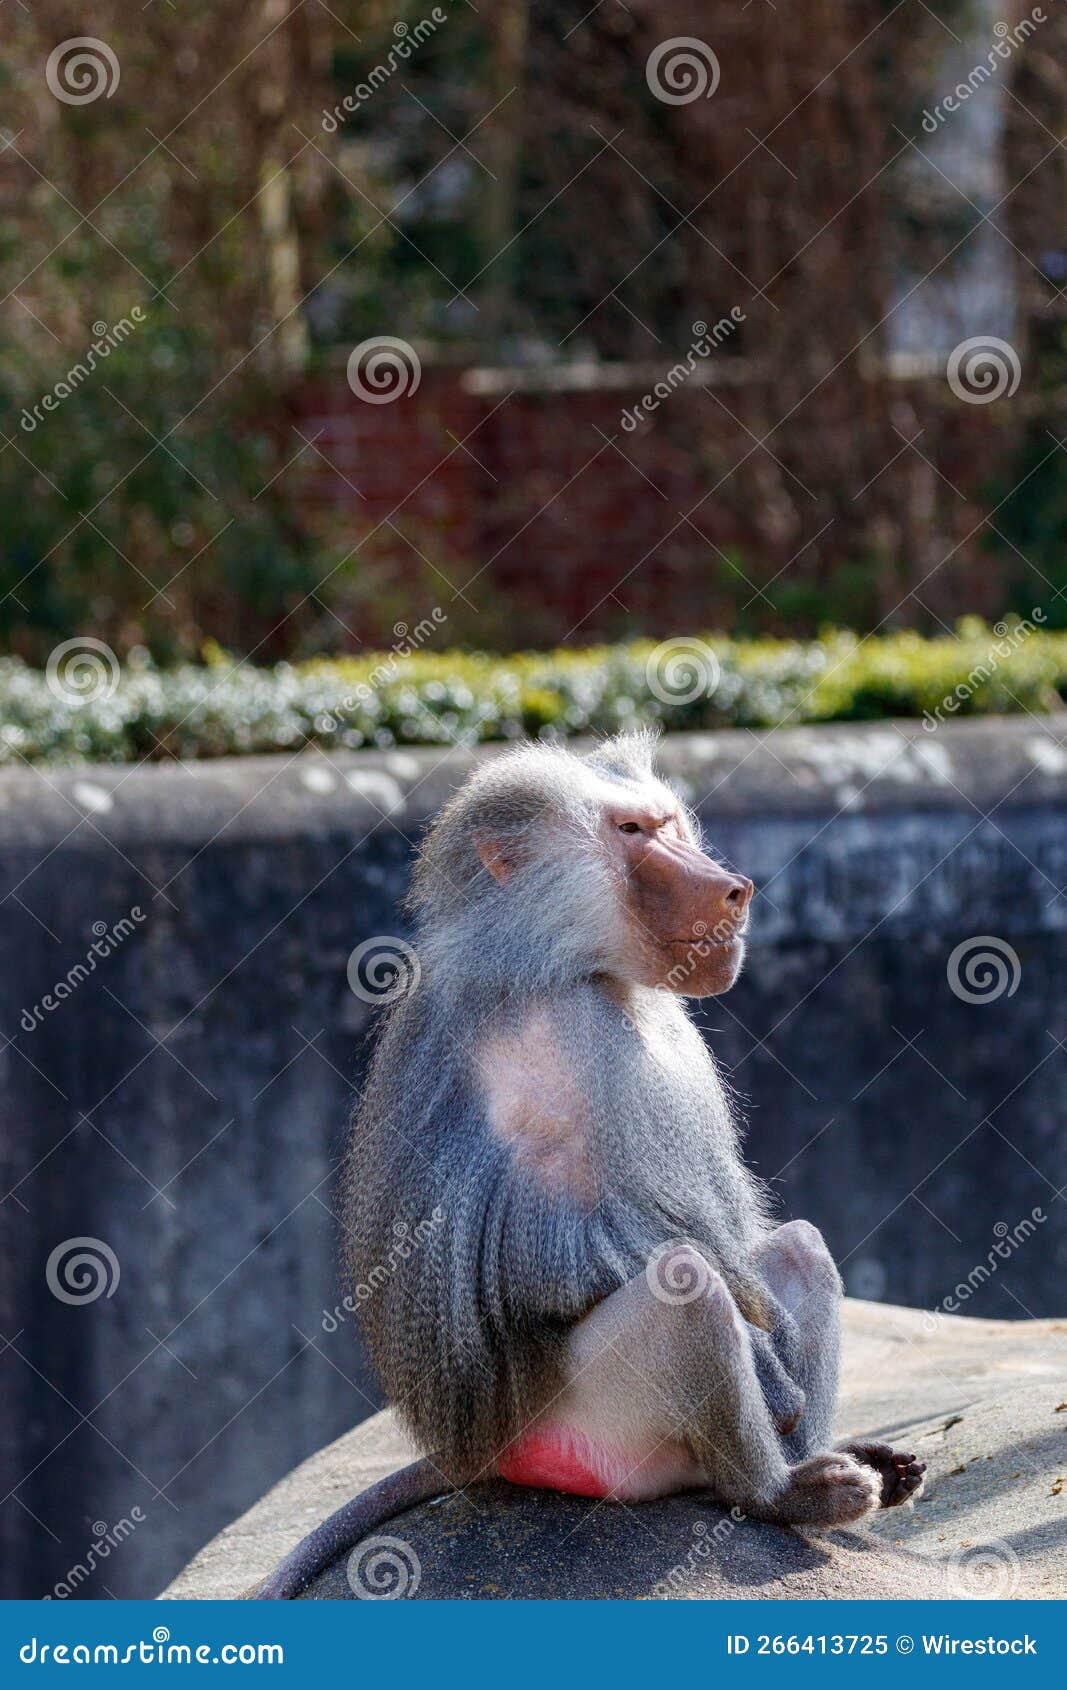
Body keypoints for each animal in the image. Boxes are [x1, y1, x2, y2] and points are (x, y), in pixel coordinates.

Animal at [254, 732, 924, 1599]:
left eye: (667, 823)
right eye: (630, 832)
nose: (733, 889)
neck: (569, 964)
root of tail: (484, 1453)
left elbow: (737, 1237)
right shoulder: (568, 1038)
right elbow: (554, 1256)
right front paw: (768, 1379)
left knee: (793, 1251)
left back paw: (819, 1462)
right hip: (586, 1422)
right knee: (685, 1287)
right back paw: (777, 1493)